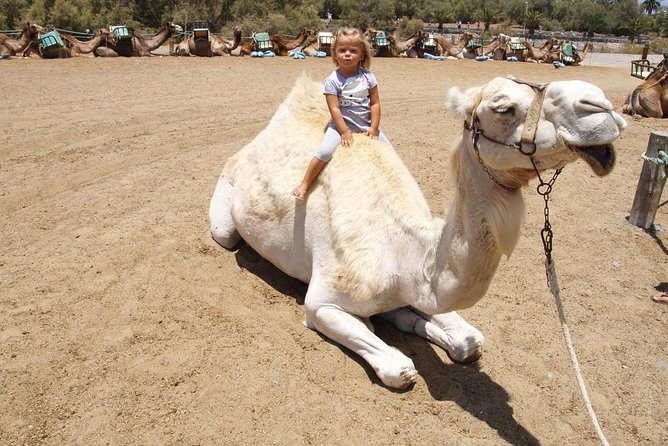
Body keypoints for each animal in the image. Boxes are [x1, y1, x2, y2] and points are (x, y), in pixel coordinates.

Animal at [208, 74, 626, 389]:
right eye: (503, 108)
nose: (601, 107)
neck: (402, 254)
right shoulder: (322, 302)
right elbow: (400, 368)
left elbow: (468, 340)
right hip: (224, 210)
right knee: (226, 234)